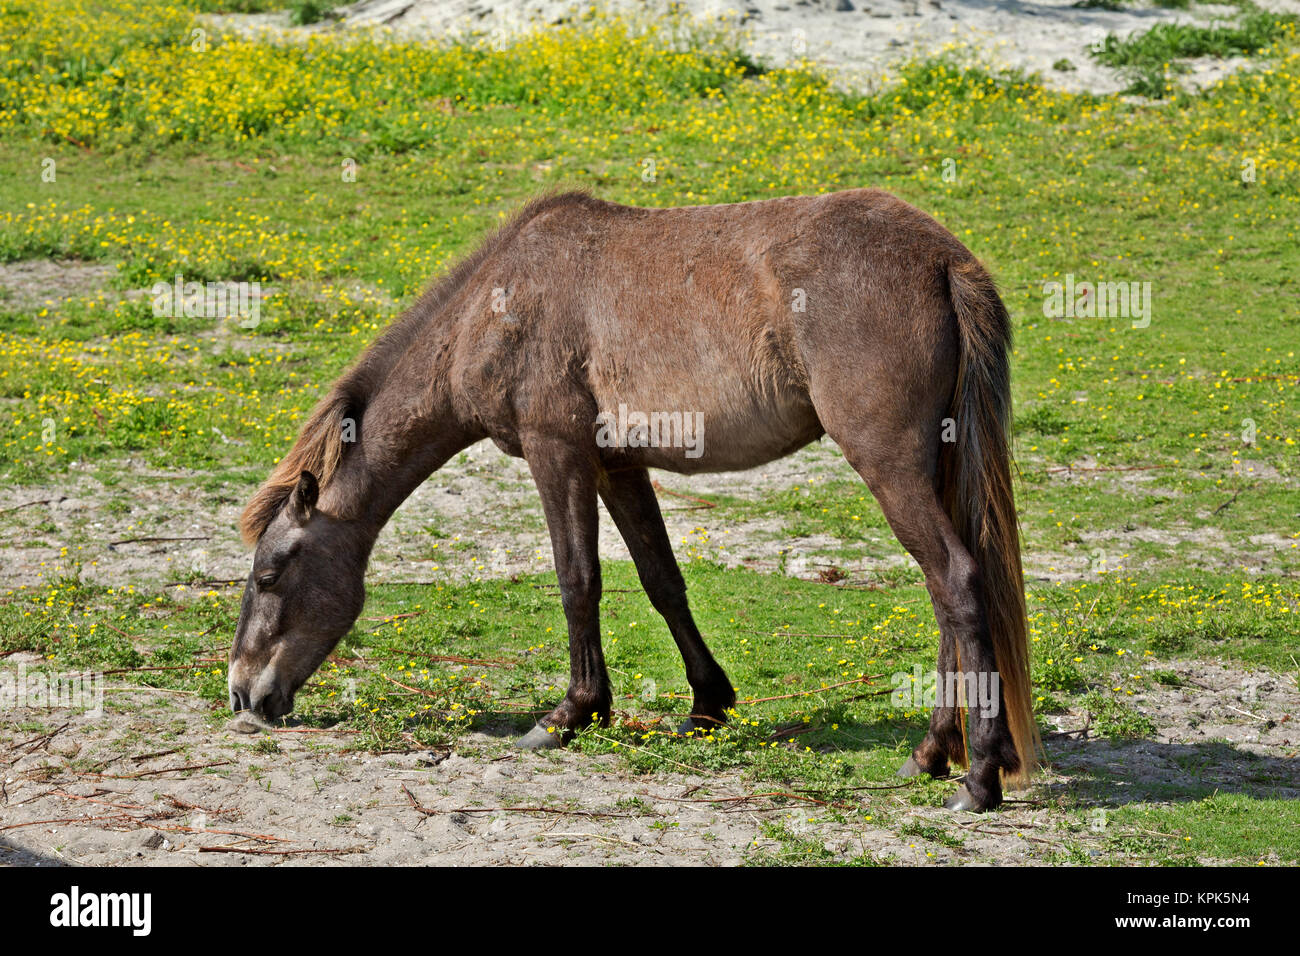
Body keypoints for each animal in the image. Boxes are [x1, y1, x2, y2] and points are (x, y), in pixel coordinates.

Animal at [228, 187, 1040, 812]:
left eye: (269, 575)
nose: (243, 697)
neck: (496, 305)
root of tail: (943, 259)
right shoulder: (617, 465)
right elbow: (661, 580)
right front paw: (707, 702)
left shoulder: (557, 452)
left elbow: (577, 580)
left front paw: (570, 713)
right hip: (932, 467)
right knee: (949, 593)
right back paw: (931, 752)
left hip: (889, 464)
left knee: (957, 582)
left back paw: (977, 777)